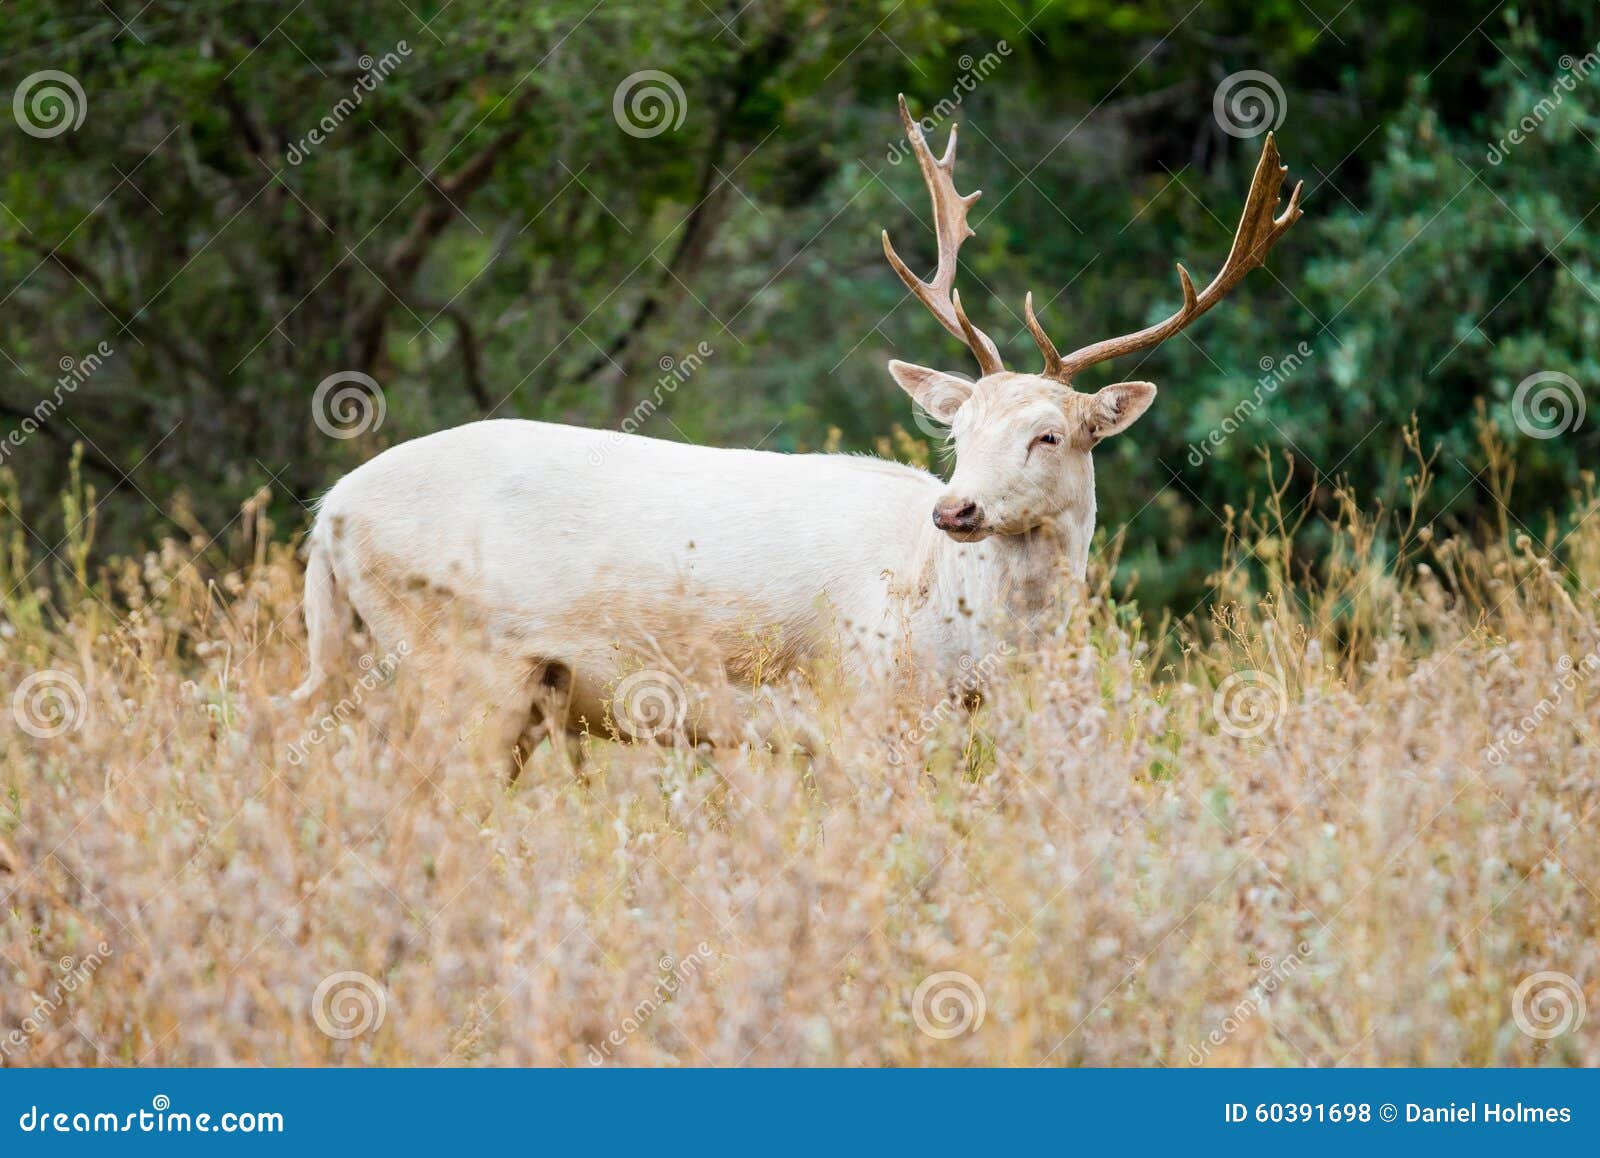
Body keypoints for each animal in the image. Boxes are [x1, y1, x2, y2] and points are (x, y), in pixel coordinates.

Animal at [289, 95, 1302, 767]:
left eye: (1051, 435)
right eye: (959, 431)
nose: (956, 510)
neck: (965, 645)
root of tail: (331, 510)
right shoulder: (861, 710)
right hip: (459, 659)